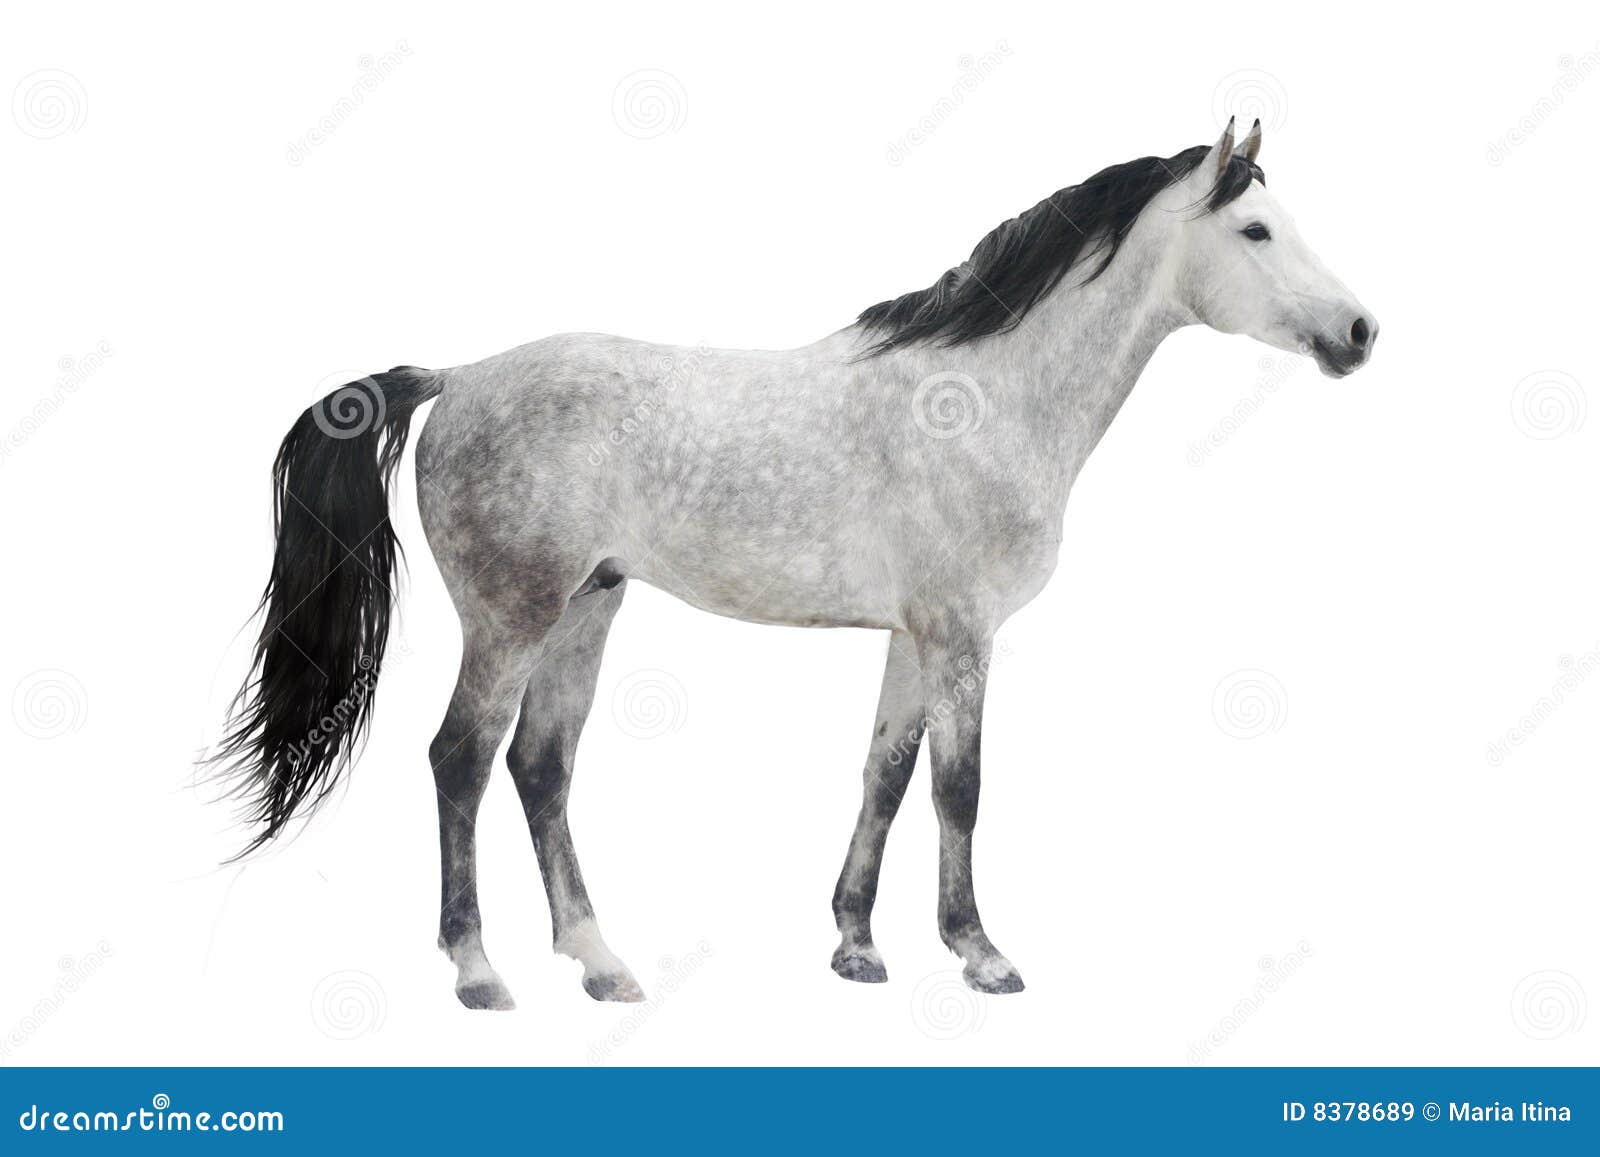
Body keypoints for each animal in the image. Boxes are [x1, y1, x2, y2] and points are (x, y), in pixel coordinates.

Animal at [213, 118, 1377, 1009]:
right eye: (1256, 229)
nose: (1360, 330)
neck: (981, 396)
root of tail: (456, 378)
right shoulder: (961, 633)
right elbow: (961, 786)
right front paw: (979, 952)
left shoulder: (914, 635)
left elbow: (886, 774)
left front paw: (856, 943)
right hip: (511, 617)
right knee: (460, 760)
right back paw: (478, 971)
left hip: (587, 607)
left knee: (540, 767)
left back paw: (599, 962)